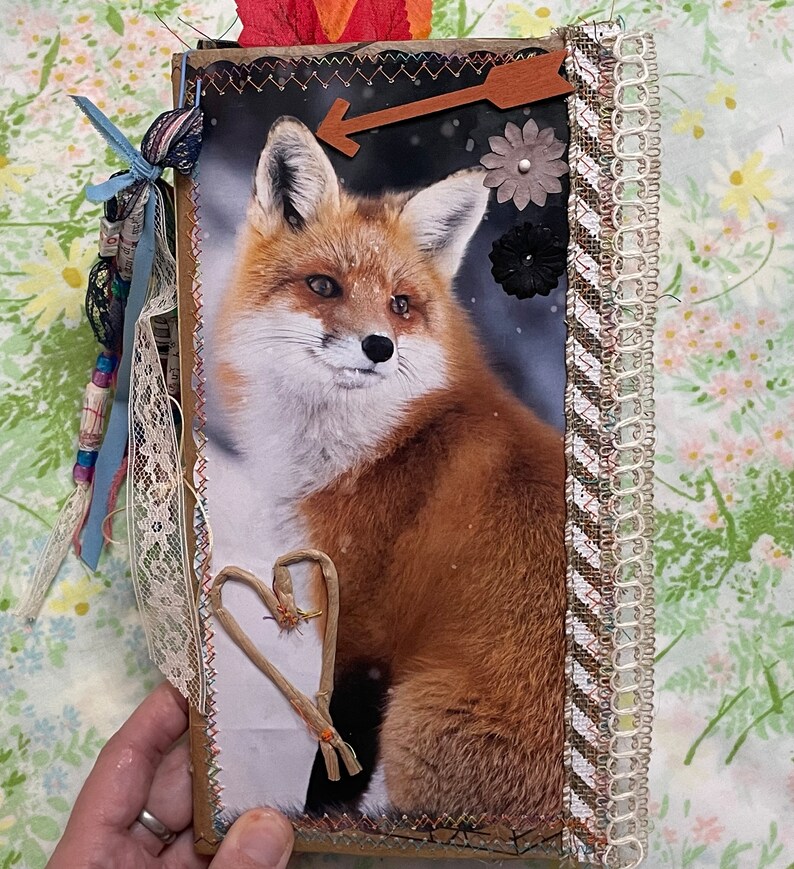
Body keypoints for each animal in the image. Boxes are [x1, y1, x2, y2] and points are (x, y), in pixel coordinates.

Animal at [213, 116, 567, 821]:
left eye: (401, 303)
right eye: (324, 286)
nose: (379, 346)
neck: (382, 448)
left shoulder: (366, 631)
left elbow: (335, 775)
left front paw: (316, 824)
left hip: (414, 718)